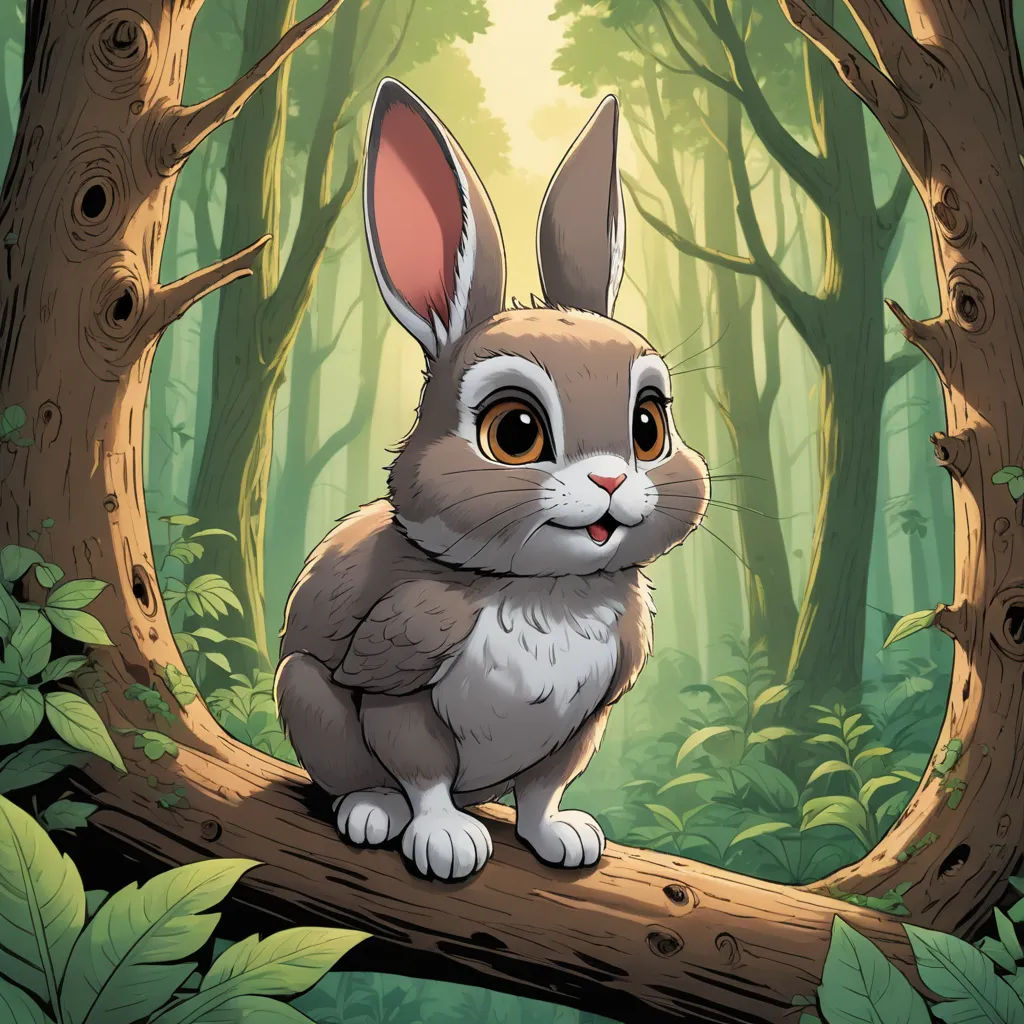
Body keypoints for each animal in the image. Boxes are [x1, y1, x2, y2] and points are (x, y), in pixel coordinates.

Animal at [275, 77, 709, 881]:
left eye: (647, 427)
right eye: (515, 433)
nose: (611, 481)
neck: (547, 593)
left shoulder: (584, 721)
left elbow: (543, 789)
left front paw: (563, 837)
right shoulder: (399, 676)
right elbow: (423, 770)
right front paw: (445, 841)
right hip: (304, 692)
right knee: (353, 774)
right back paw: (372, 813)